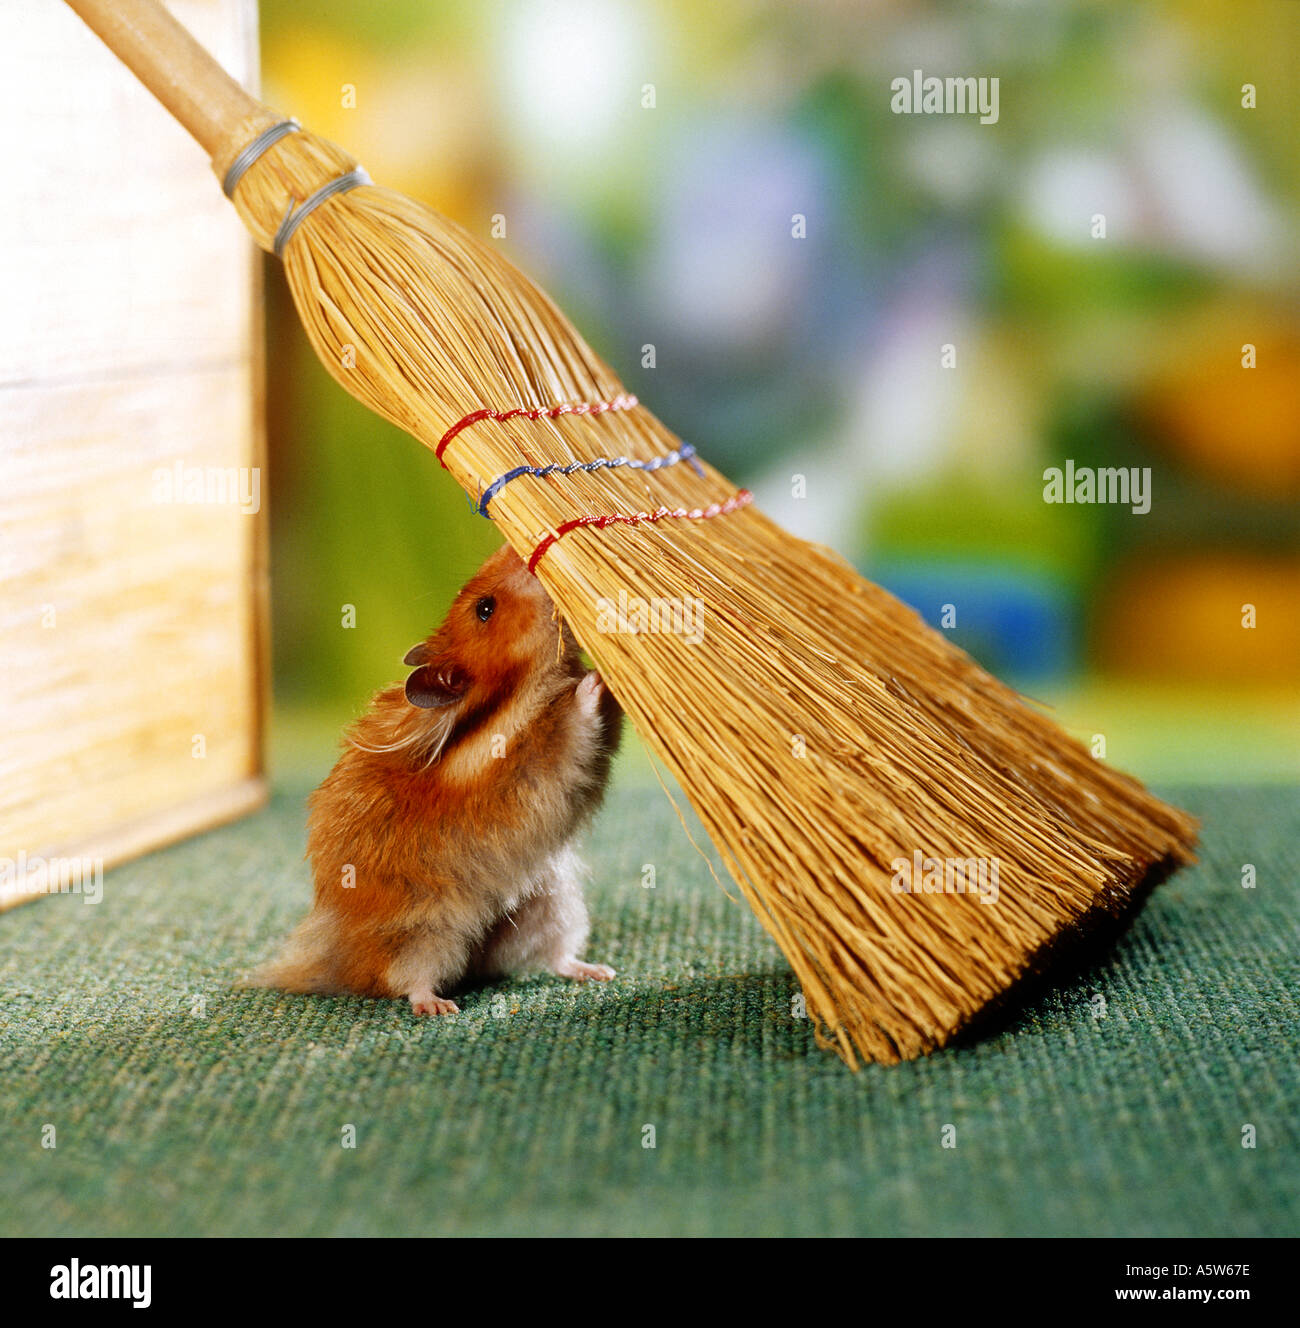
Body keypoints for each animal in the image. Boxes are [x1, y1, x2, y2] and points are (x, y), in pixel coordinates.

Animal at [250, 544, 623, 1015]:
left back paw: (599, 972)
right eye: (485, 608)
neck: (518, 694)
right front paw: (594, 679)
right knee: (404, 979)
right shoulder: (538, 766)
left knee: (553, 957)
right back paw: (438, 1007)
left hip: (552, 903)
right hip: (423, 932)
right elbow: (574, 726)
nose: (511, 548)